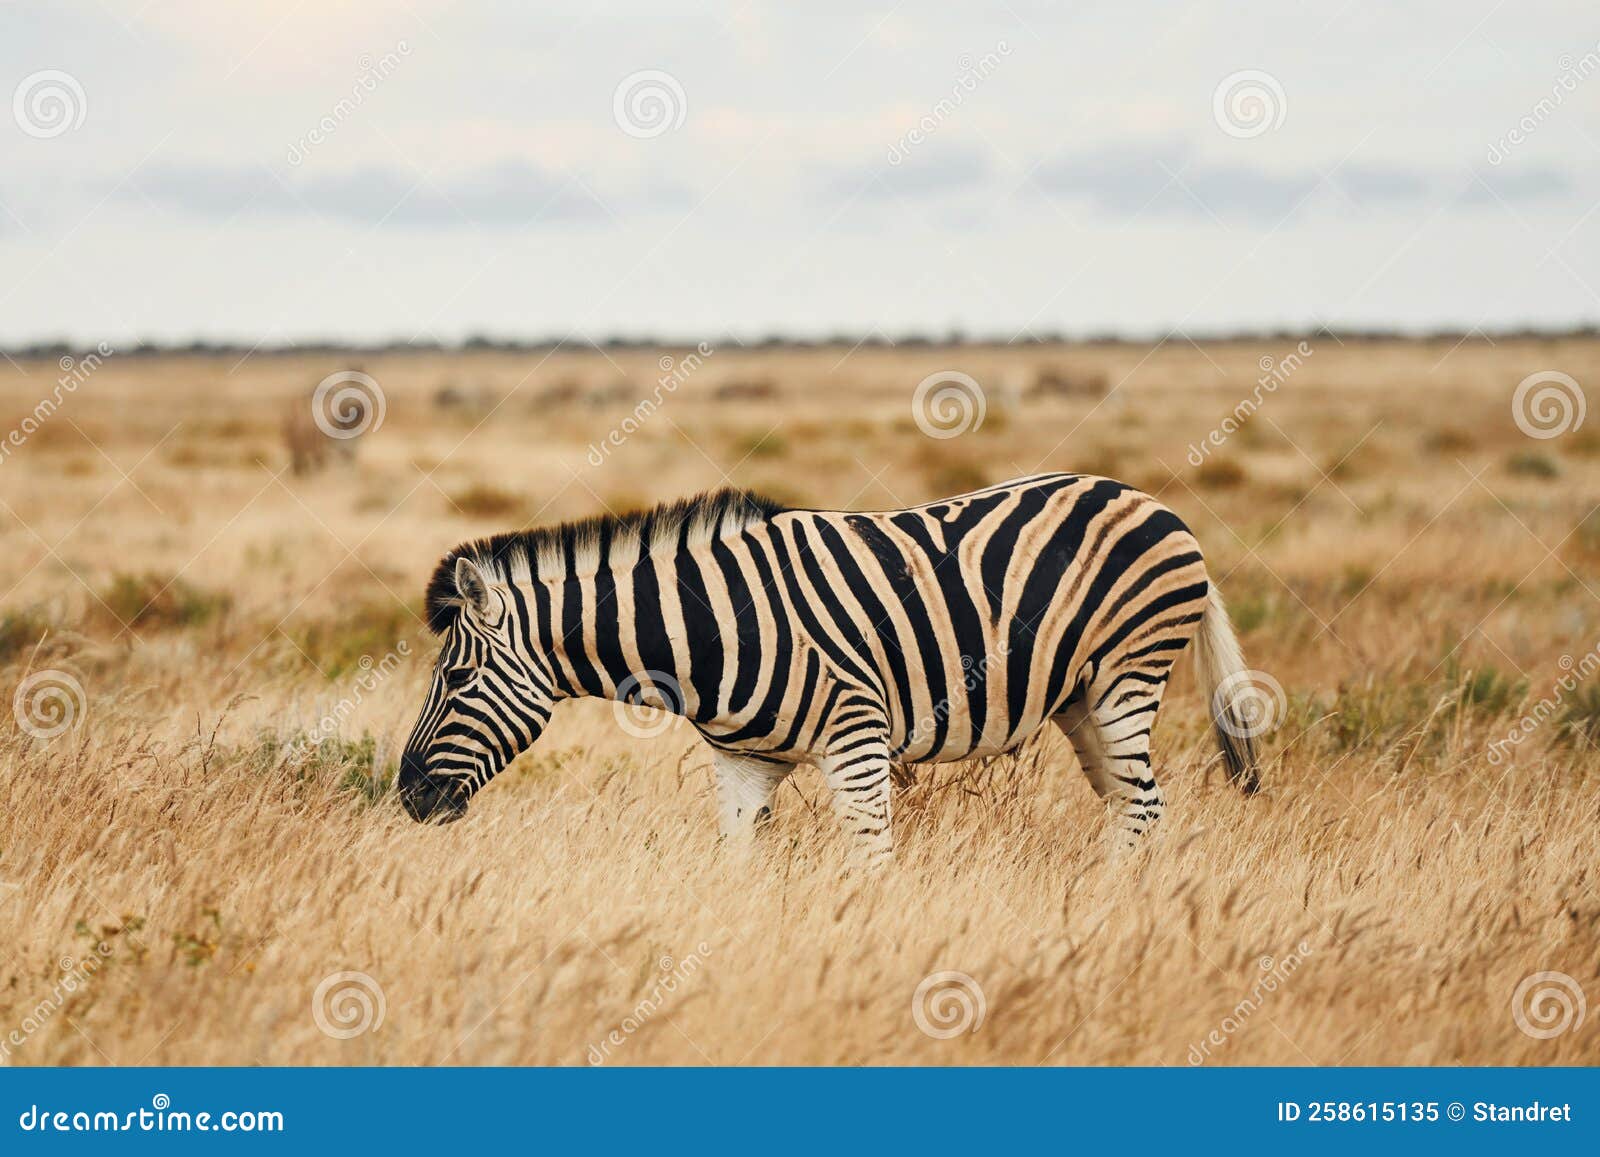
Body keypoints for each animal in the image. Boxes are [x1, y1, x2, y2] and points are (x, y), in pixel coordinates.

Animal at [397, 473, 1262, 861]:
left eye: (458, 680)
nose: (407, 795)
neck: (708, 629)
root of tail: (1153, 501)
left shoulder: (857, 739)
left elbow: (871, 861)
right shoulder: (743, 762)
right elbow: (736, 864)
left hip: (1126, 674)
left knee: (1144, 804)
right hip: (1080, 697)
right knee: (1126, 805)